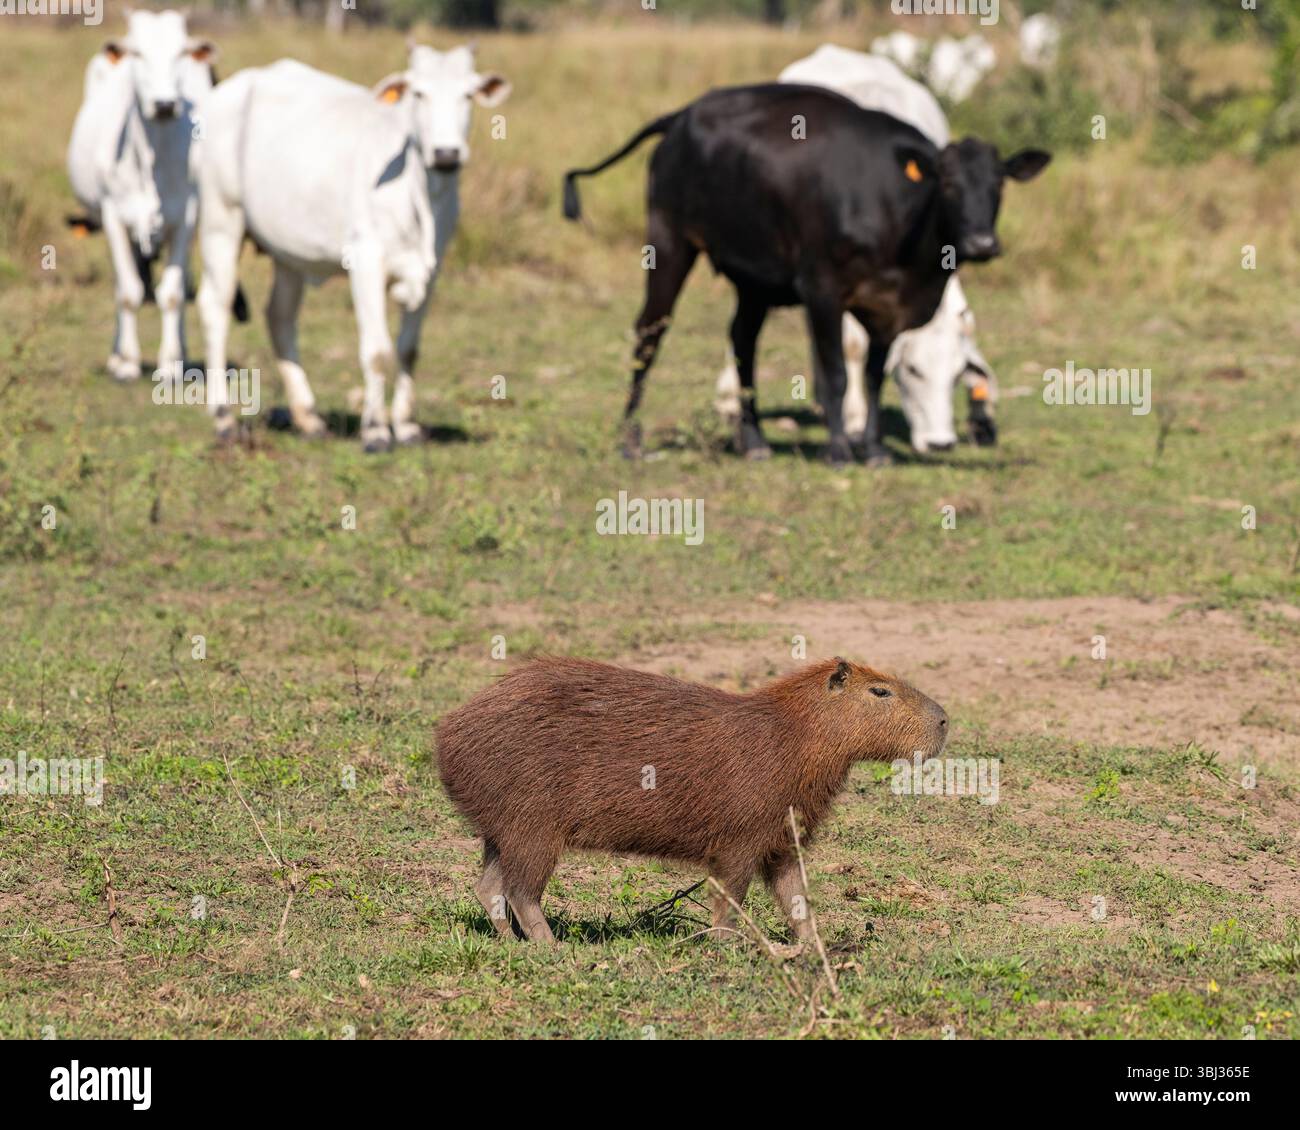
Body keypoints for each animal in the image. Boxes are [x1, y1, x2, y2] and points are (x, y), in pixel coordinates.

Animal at [67, 9, 218, 383]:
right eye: (137, 53)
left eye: (181, 52)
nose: (164, 104)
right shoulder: (112, 216)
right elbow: (128, 292)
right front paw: (127, 362)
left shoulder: (186, 216)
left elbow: (173, 294)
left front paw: (170, 363)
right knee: (125, 282)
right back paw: (117, 354)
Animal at [196, 43, 510, 450]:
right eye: (418, 94)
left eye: (468, 95)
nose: (446, 154)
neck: (421, 190)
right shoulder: (366, 261)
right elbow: (377, 351)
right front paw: (375, 430)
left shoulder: (433, 268)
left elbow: (409, 348)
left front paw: (405, 426)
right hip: (220, 222)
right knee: (215, 307)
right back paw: (223, 418)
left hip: (288, 252)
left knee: (279, 316)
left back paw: (309, 417)